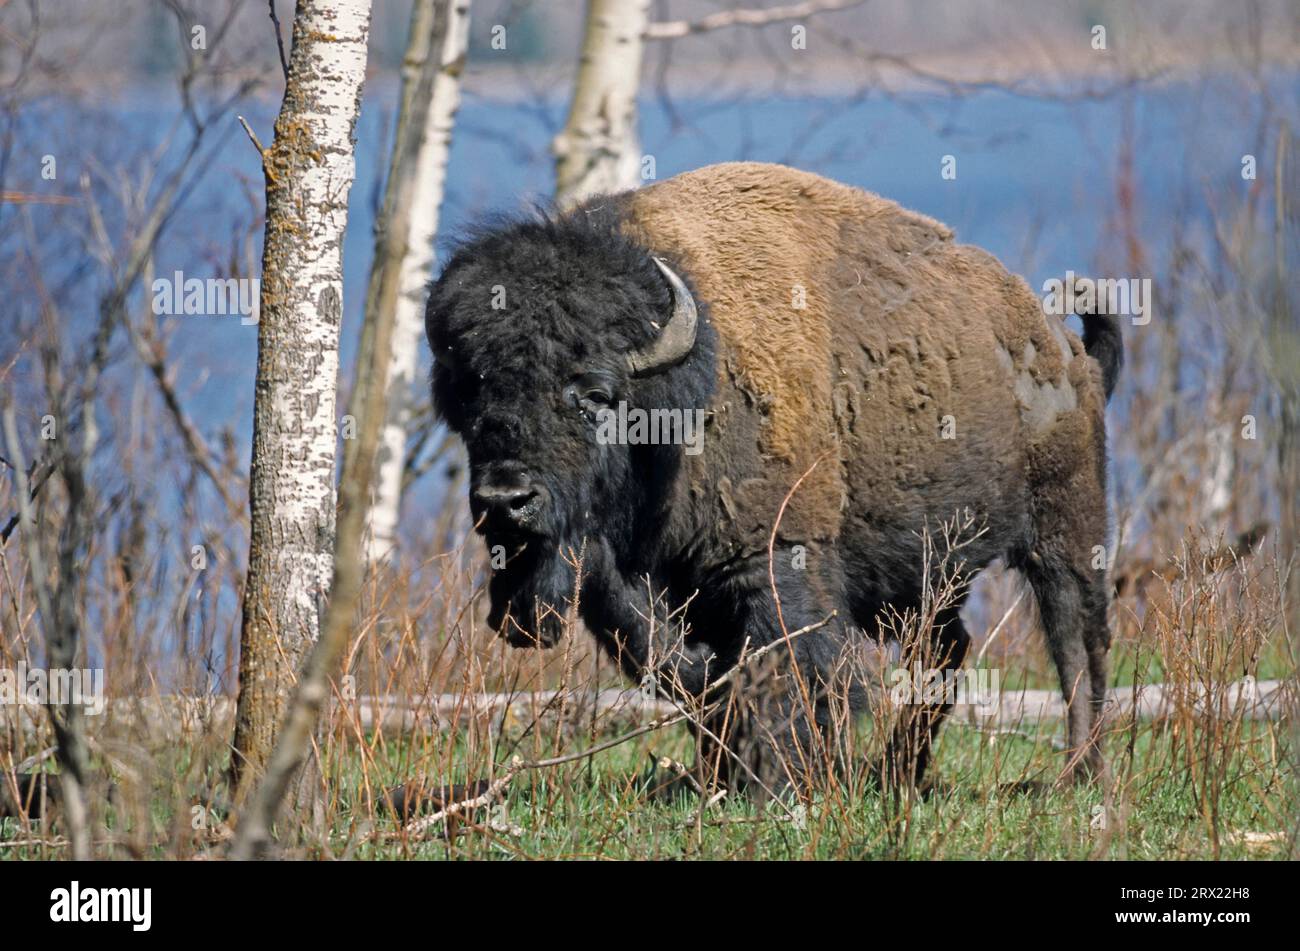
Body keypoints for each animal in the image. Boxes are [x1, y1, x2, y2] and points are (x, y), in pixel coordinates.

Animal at [425, 162, 1122, 795]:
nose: (506, 500)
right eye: (472, 395)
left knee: (1076, 640)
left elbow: (784, 667)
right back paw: (897, 775)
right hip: (924, 573)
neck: (688, 385)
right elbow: (681, 667)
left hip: (1065, 527)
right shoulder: (639, 584)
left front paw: (775, 783)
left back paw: (1077, 775)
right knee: (946, 651)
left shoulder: (777, 559)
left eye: (594, 393)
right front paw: (718, 774)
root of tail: (1067, 351)